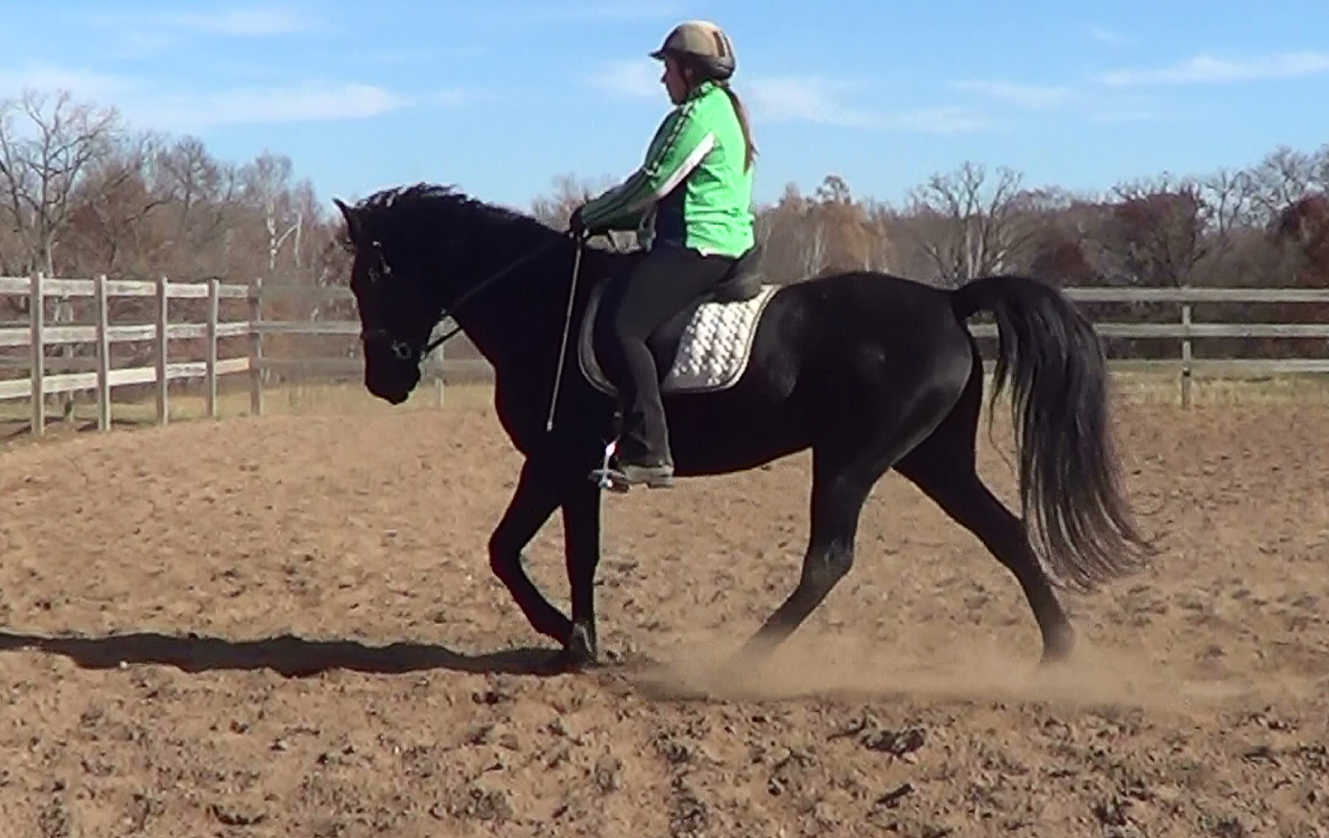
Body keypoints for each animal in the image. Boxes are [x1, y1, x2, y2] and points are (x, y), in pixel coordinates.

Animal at [332, 183, 1153, 672]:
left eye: (373, 275)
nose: (384, 380)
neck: (540, 302)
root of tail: (948, 301)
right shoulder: (565, 466)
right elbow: (539, 551)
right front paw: (578, 641)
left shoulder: (561, 460)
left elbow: (536, 552)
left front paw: (575, 640)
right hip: (931, 459)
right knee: (1004, 532)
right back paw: (1058, 652)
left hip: (852, 460)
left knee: (828, 560)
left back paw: (744, 662)